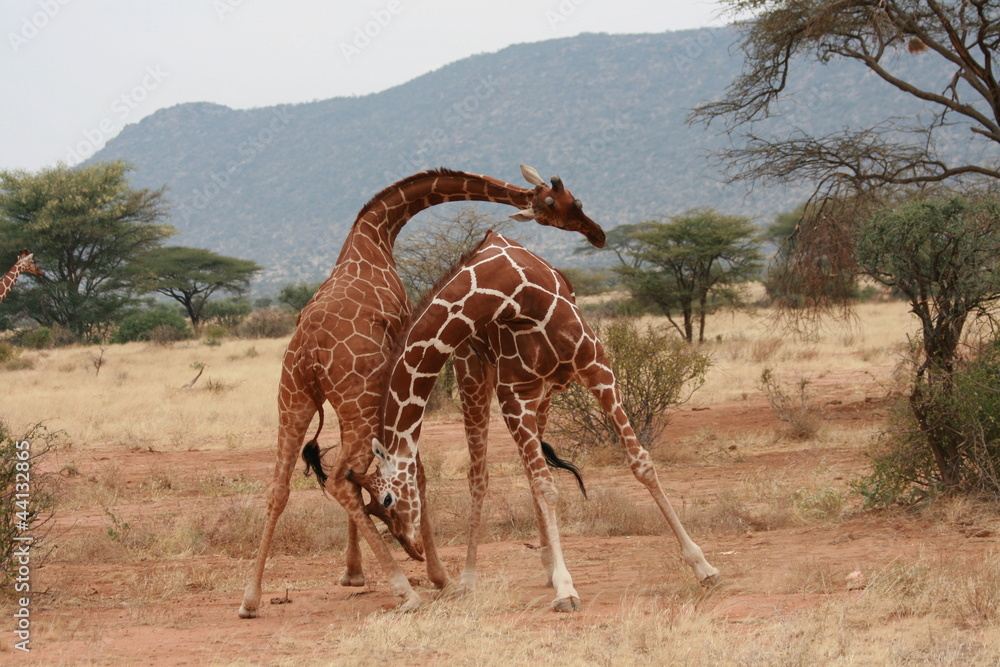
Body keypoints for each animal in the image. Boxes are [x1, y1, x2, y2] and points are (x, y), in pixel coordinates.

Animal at [238, 166, 606, 618]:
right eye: (564, 203)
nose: (596, 234)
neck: (374, 233)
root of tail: (309, 353)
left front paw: (353, 572)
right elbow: (410, 475)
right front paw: (424, 572)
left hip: (292, 398)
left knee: (281, 486)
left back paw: (251, 599)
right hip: (359, 403)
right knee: (344, 480)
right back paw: (415, 585)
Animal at [349, 231, 719, 612]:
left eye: (387, 500)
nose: (412, 548)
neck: (510, 293)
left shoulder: (597, 367)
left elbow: (640, 463)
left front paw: (703, 566)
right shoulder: (514, 393)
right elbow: (545, 486)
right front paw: (566, 588)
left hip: (543, 396)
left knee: (524, 471)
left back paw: (545, 565)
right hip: (474, 375)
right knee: (479, 477)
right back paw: (470, 578)